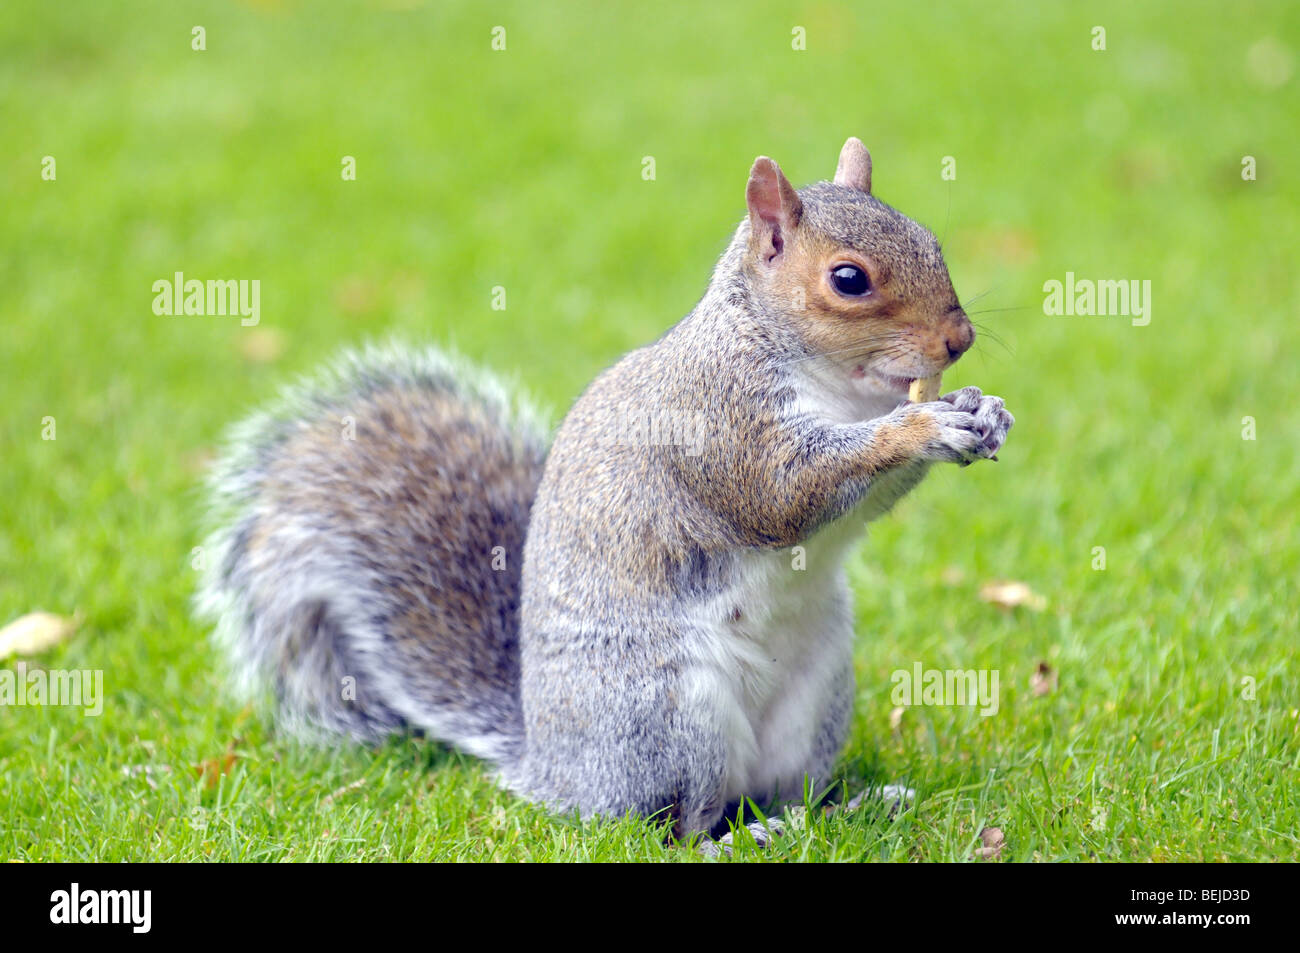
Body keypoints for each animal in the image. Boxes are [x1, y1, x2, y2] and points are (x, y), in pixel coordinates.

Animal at [197, 137, 1014, 841]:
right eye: (848, 279)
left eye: (932, 241)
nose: (959, 340)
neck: (839, 386)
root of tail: (556, 771)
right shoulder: (719, 424)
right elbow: (785, 494)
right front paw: (920, 426)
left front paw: (980, 409)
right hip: (668, 713)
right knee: (673, 822)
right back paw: (742, 838)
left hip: (816, 697)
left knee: (784, 787)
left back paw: (848, 806)